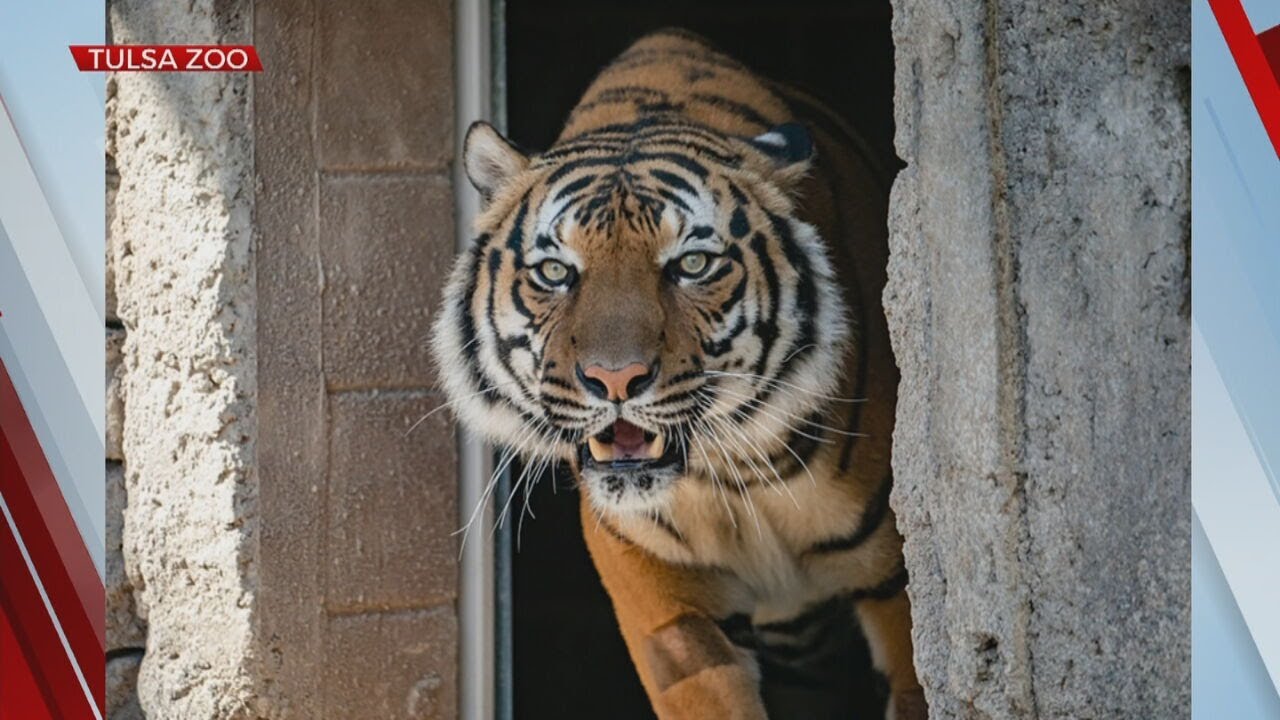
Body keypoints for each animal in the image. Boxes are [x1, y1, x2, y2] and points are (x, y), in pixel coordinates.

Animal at [432, 29, 925, 720]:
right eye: (555, 272)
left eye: (691, 265)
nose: (614, 380)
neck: (731, 475)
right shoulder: (669, 607)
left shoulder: (899, 590)